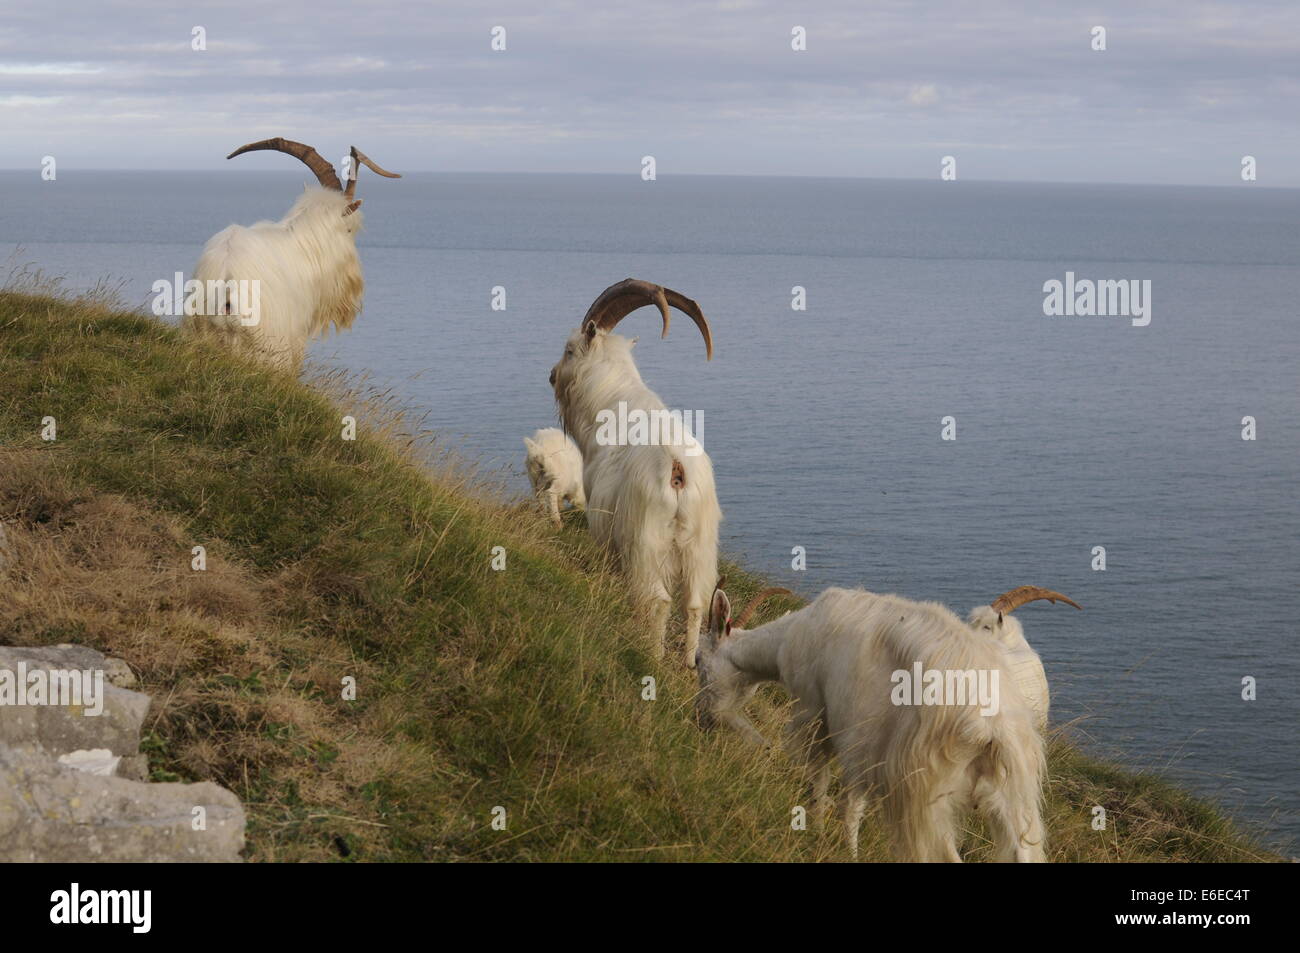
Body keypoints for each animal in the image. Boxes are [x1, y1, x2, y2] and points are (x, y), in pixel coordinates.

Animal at [550, 279, 720, 666]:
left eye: (569, 350)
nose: (551, 376)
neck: (611, 399)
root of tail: (677, 470)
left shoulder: (605, 529)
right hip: (699, 549)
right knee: (694, 604)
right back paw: (687, 663)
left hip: (647, 544)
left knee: (658, 600)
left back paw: (652, 656)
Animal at [696, 584, 1079, 861]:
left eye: (698, 659)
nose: (701, 720)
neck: (788, 638)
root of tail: (993, 726)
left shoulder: (818, 714)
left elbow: (824, 787)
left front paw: (822, 837)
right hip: (1013, 795)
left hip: (925, 792)